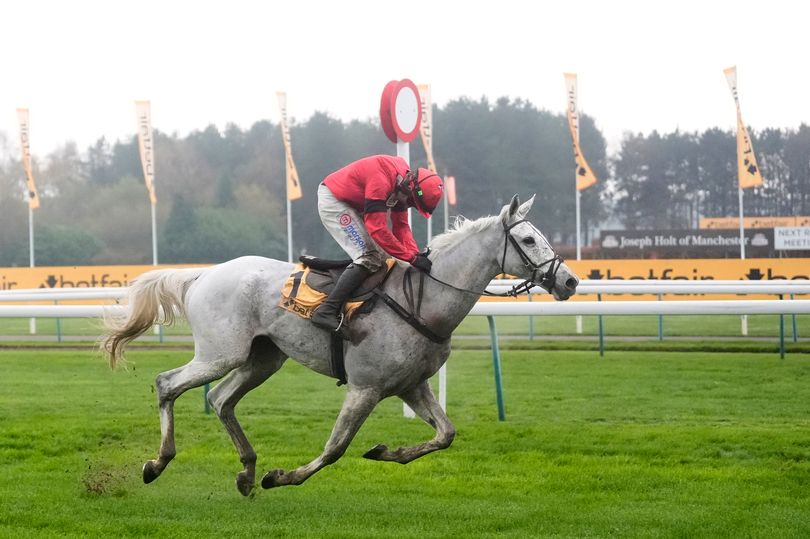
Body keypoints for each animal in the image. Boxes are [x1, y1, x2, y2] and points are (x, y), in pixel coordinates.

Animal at [101, 194, 579, 496]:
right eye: (529, 239)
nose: (570, 281)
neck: (422, 301)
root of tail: (203, 273)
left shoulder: (412, 385)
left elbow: (445, 434)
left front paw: (386, 450)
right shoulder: (365, 387)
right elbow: (335, 449)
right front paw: (282, 476)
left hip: (263, 358)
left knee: (220, 399)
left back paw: (247, 471)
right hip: (221, 353)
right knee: (168, 383)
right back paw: (158, 463)